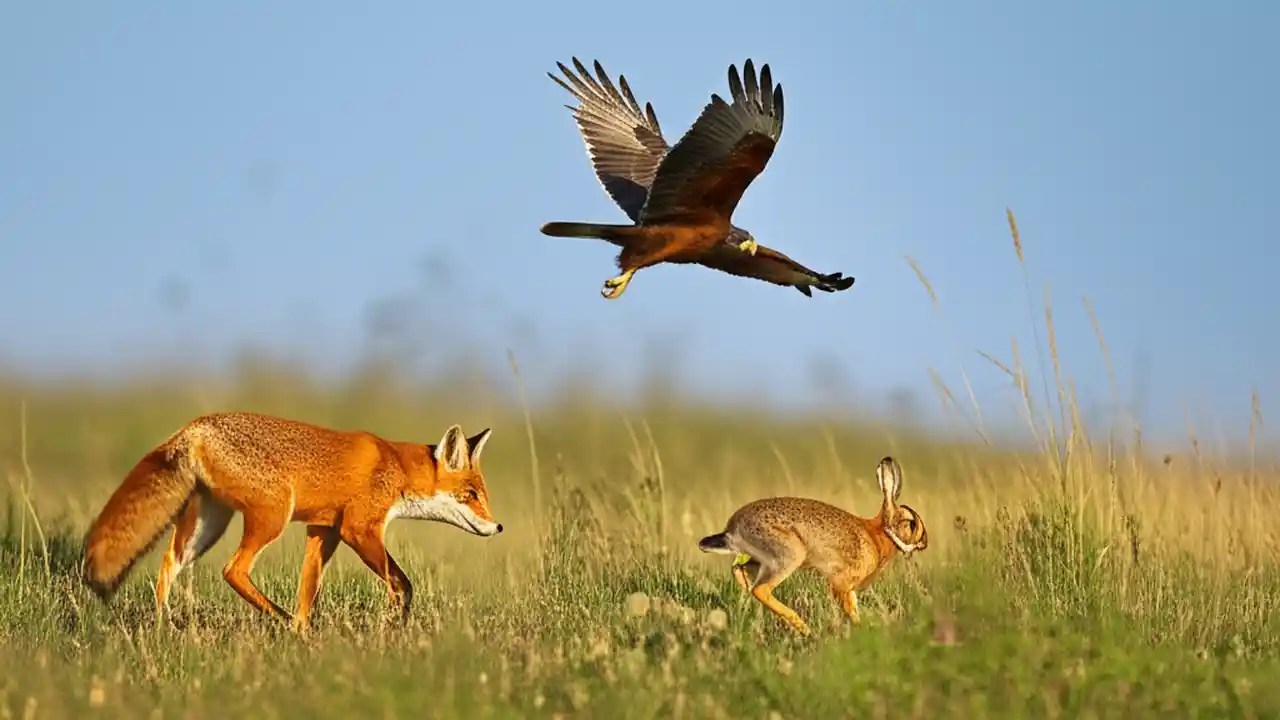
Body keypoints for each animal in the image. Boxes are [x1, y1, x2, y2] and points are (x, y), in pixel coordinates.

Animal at [81, 411, 503, 631]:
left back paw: (164, 624)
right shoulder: (358, 529)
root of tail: (195, 425)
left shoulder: (324, 530)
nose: (498, 527)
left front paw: (302, 633)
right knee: (233, 570)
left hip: (208, 526)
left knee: (169, 563)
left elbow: (307, 590)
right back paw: (275, 617)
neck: (395, 466)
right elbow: (403, 583)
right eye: (471, 495)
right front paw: (396, 622)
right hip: (273, 516)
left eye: (483, 495)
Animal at [698, 456, 928, 636]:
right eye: (911, 522)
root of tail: (733, 528)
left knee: (741, 571)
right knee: (761, 589)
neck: (878, 534)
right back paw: (804, 628)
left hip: (760, 559)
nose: (924, 542)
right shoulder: (841, 583)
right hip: (787, 556)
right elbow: (850, 609)